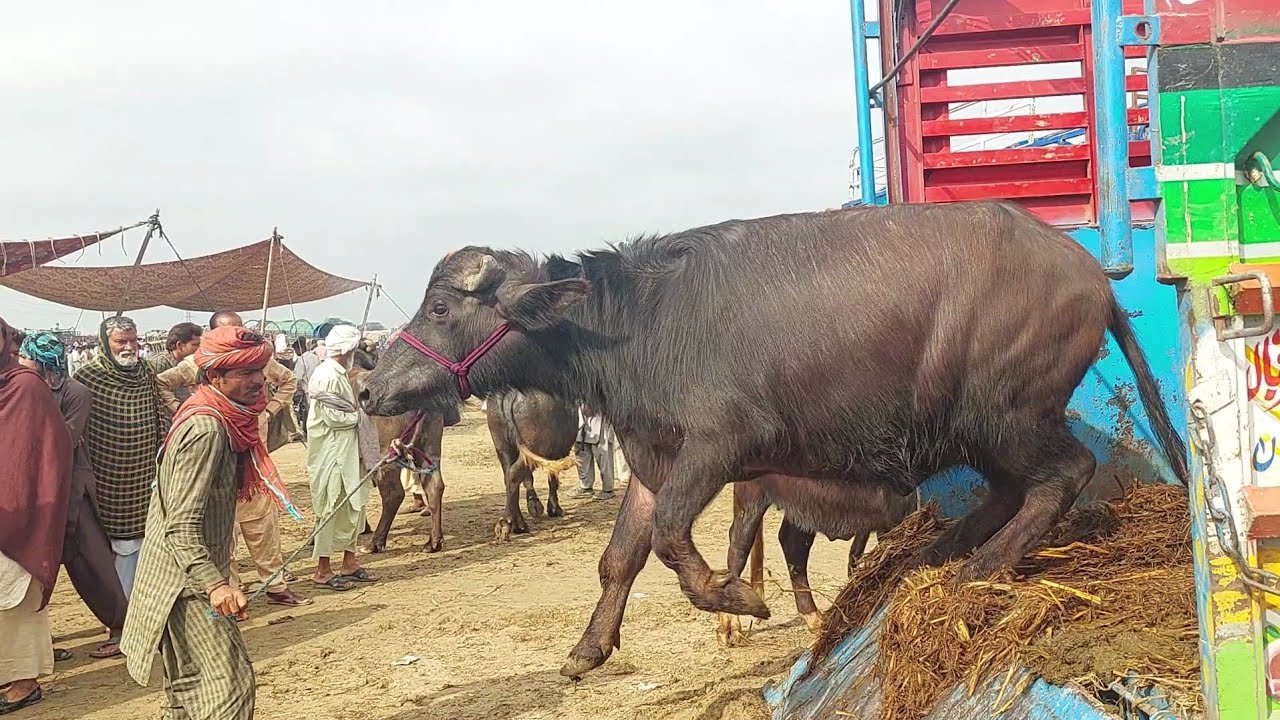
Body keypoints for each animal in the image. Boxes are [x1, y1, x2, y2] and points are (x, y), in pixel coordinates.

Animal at [484, 389, 578, 540]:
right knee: (514, 474)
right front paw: (554, 509)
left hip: (503, 447)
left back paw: (518, 523)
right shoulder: (557, 451)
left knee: (509, 477)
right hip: (534, 447)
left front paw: (535, 504)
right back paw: (506, 523)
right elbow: (553, 478)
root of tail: (510, 393)